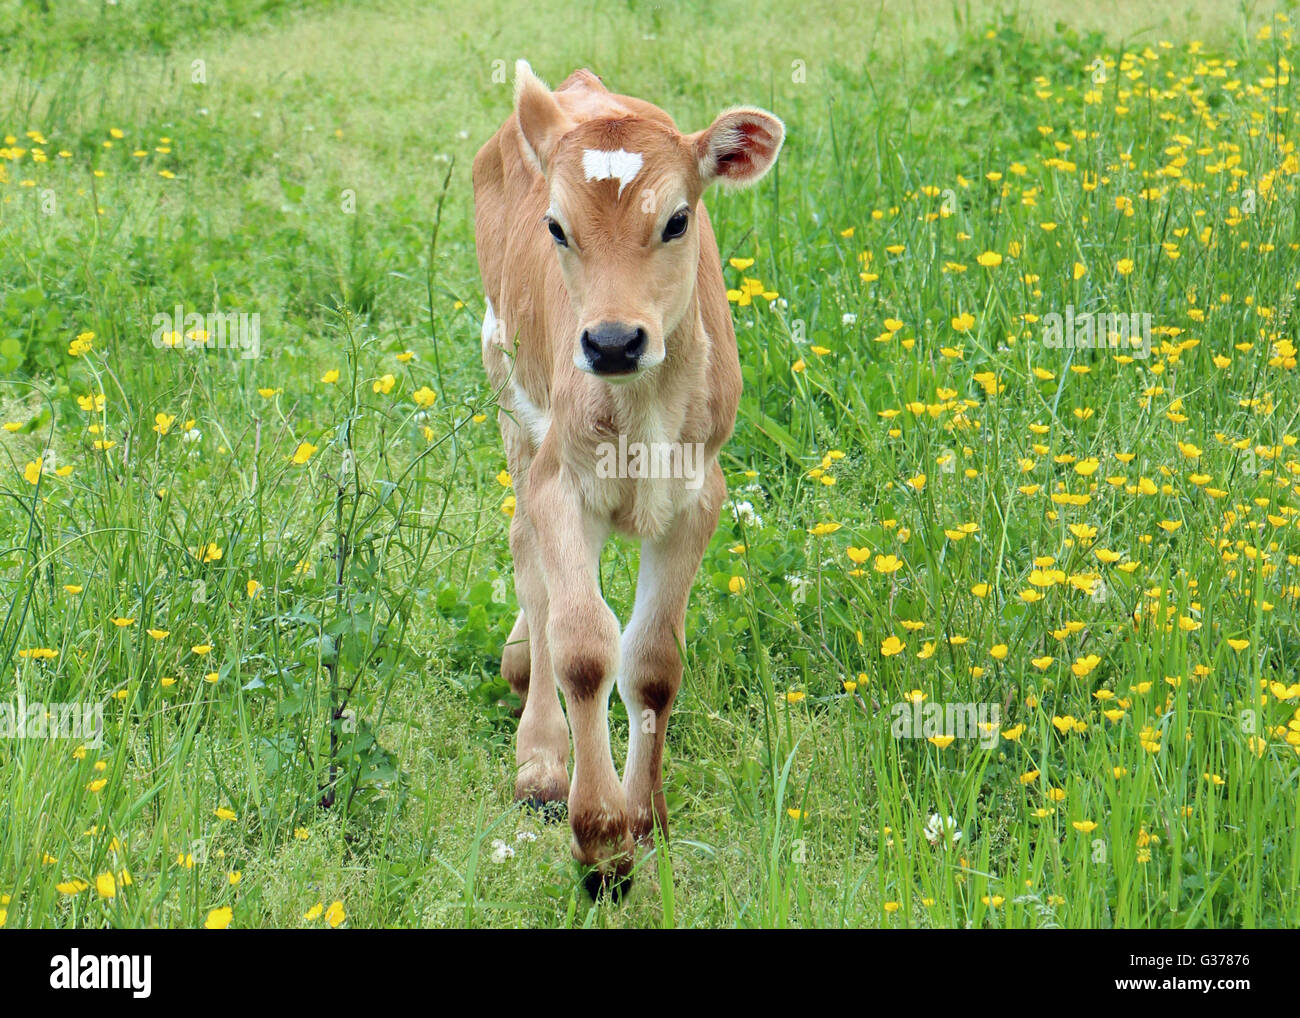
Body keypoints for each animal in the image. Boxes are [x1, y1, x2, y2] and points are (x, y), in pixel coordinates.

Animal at [472, 61, 783, 897]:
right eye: (555, 227)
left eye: (677, 221)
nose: (612, 342)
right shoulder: (560, 482)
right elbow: (583, 646)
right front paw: (601, 839)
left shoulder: (697, 494)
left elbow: (651, 664)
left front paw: (647, 821)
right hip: (508, 390)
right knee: (530, 567)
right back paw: (541, 756)